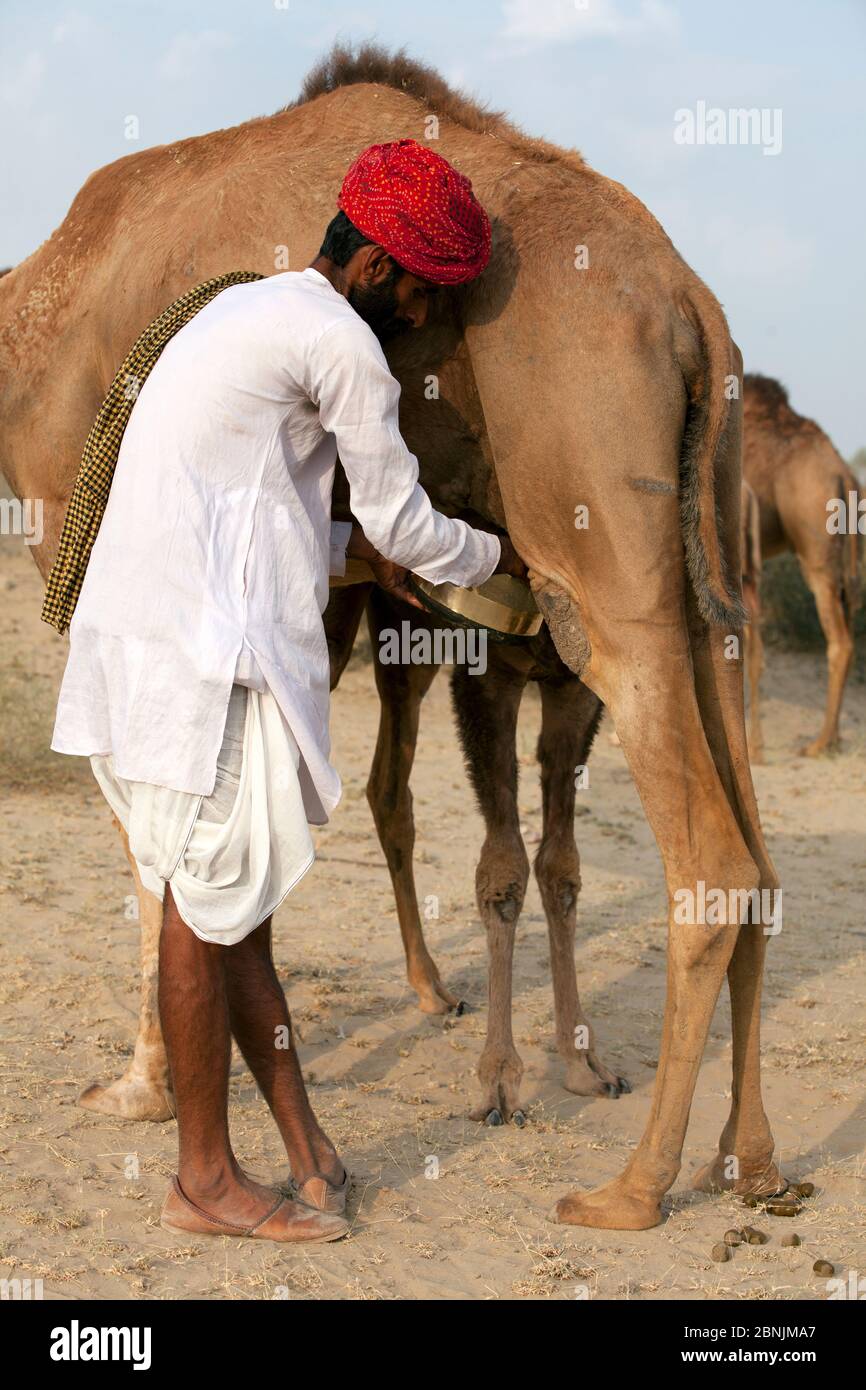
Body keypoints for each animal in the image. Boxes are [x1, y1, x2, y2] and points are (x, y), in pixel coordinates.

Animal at [0, 43, 781, 1229]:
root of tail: (691, 304)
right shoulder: (315, 594)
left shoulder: (93, 566)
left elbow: (154, 840)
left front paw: (137, 1086)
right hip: (713, 559)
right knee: (755, 841)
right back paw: (749, 1158)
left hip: (600, 541)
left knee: (712, 856)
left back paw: (633, 1186)